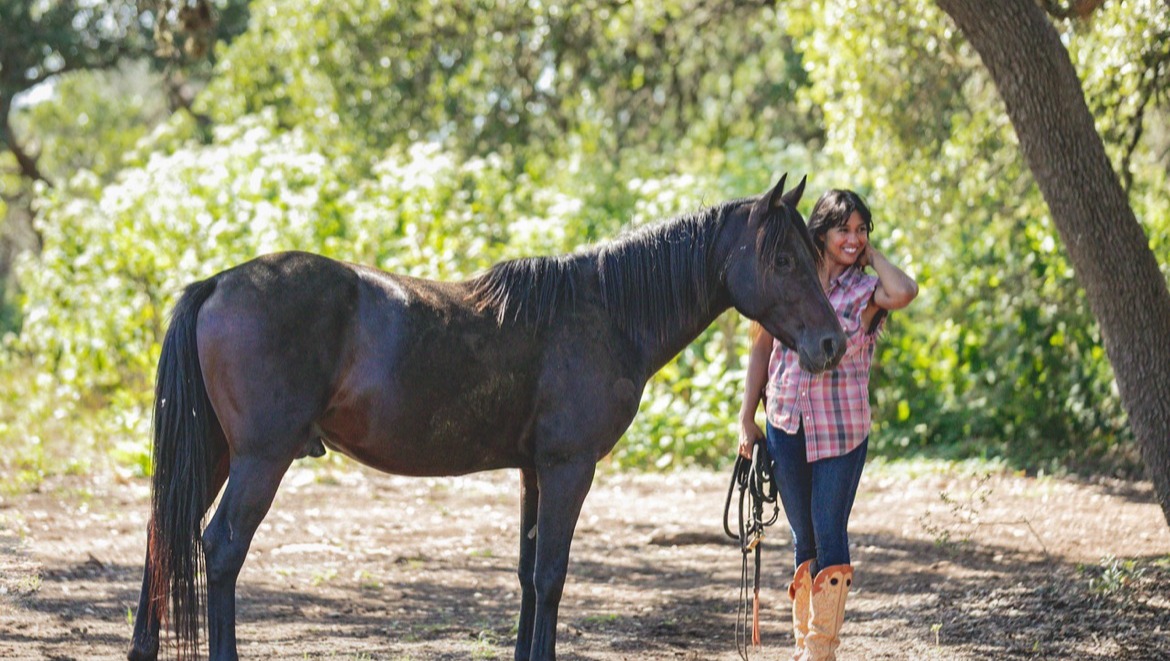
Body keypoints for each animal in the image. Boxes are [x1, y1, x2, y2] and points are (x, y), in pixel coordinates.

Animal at [127, 173, 845, 661]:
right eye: (784, 259)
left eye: (815, 256)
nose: (831, 345)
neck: (606, 312)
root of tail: (219, 283)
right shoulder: (567, 469)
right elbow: (552, 576)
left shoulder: (532, 471)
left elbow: (528, 574)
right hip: (259, 458)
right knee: (221, 545)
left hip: (216, 453)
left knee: (165, 529)